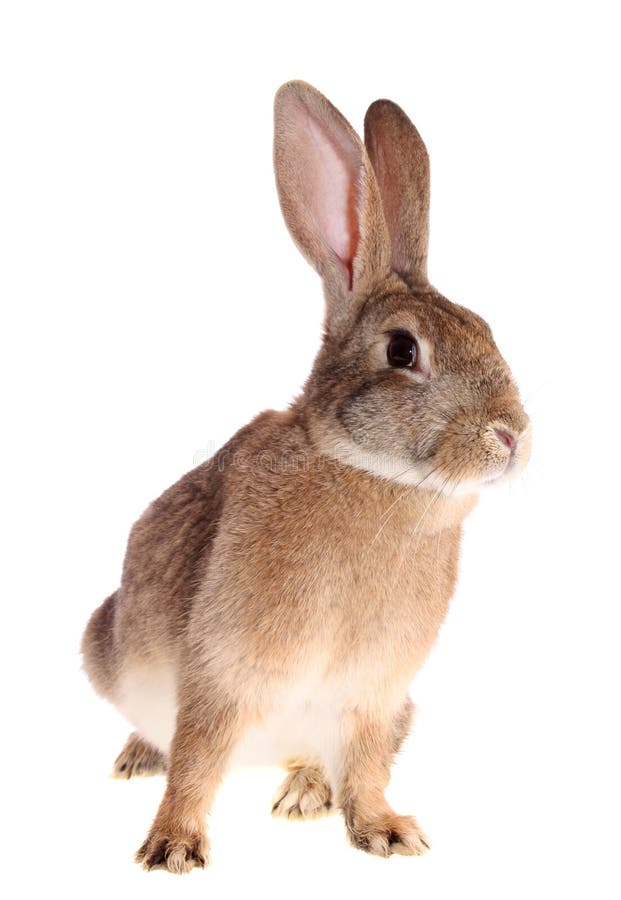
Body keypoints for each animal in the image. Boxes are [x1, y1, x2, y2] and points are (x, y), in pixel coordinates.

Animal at [81, 80, 531, 874]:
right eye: (403, 349)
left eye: (484, 327)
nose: (511, 434)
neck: (375, 481)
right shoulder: (220, 672)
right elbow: (197, 759)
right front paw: (171, 849)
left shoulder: (373, 695)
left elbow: (367, 767)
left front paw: (386, 832)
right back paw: (139, 757)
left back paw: (304, 792)